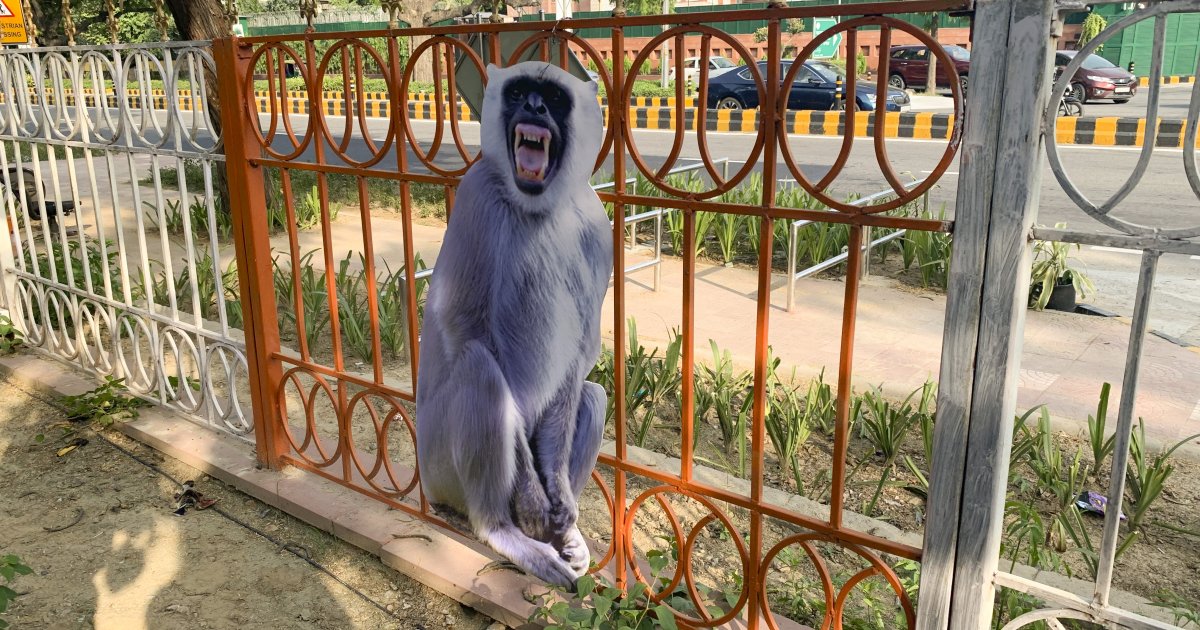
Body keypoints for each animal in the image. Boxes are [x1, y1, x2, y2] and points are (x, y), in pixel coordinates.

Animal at [415, 61, 612, 588]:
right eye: (521, 92)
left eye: (553, 98)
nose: (535, 108)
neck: (535, 206)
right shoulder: (477, 193)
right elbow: (462, 327)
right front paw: (532, 503)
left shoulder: (596, 224)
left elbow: (580, 356)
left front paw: (559, 499)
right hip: (439, 464)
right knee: (479, 367)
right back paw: (504, 530)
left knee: (592, 395)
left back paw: (565, 536)